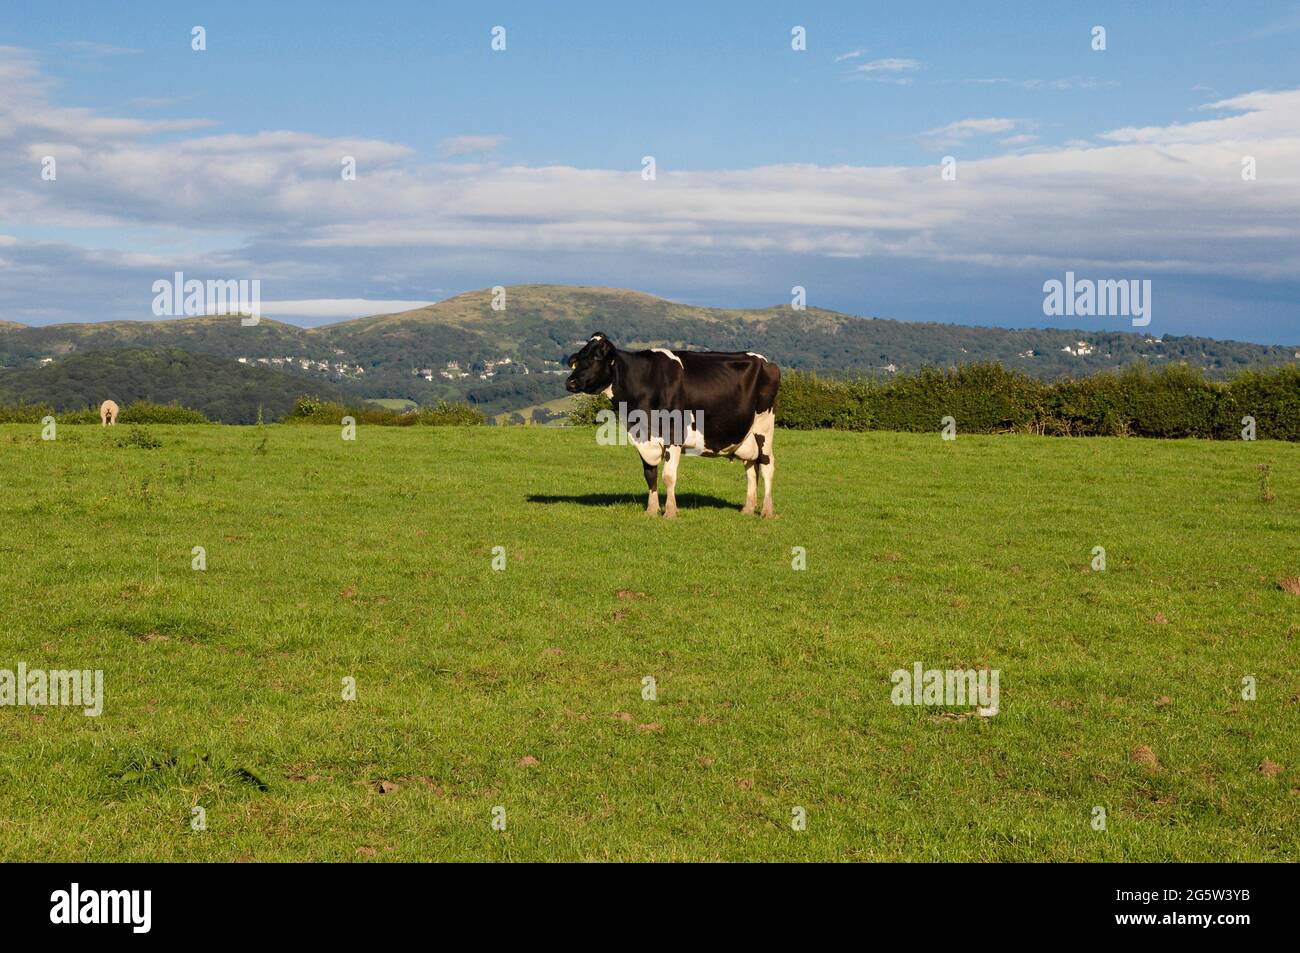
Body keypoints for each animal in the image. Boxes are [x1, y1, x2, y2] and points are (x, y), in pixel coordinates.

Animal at [565, 333, 779, 519]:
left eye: (596, 357)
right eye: (580, 357)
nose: (570, 382)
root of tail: (767, 362)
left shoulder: (673, 435)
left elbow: (668, 476)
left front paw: (669, 512)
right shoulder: (643, 438)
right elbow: (650, 474)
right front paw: (651, 510)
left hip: (764, 428)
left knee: (767, 465)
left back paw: (767, 511)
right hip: (746, 435)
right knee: (751, 468)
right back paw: (748, 509)